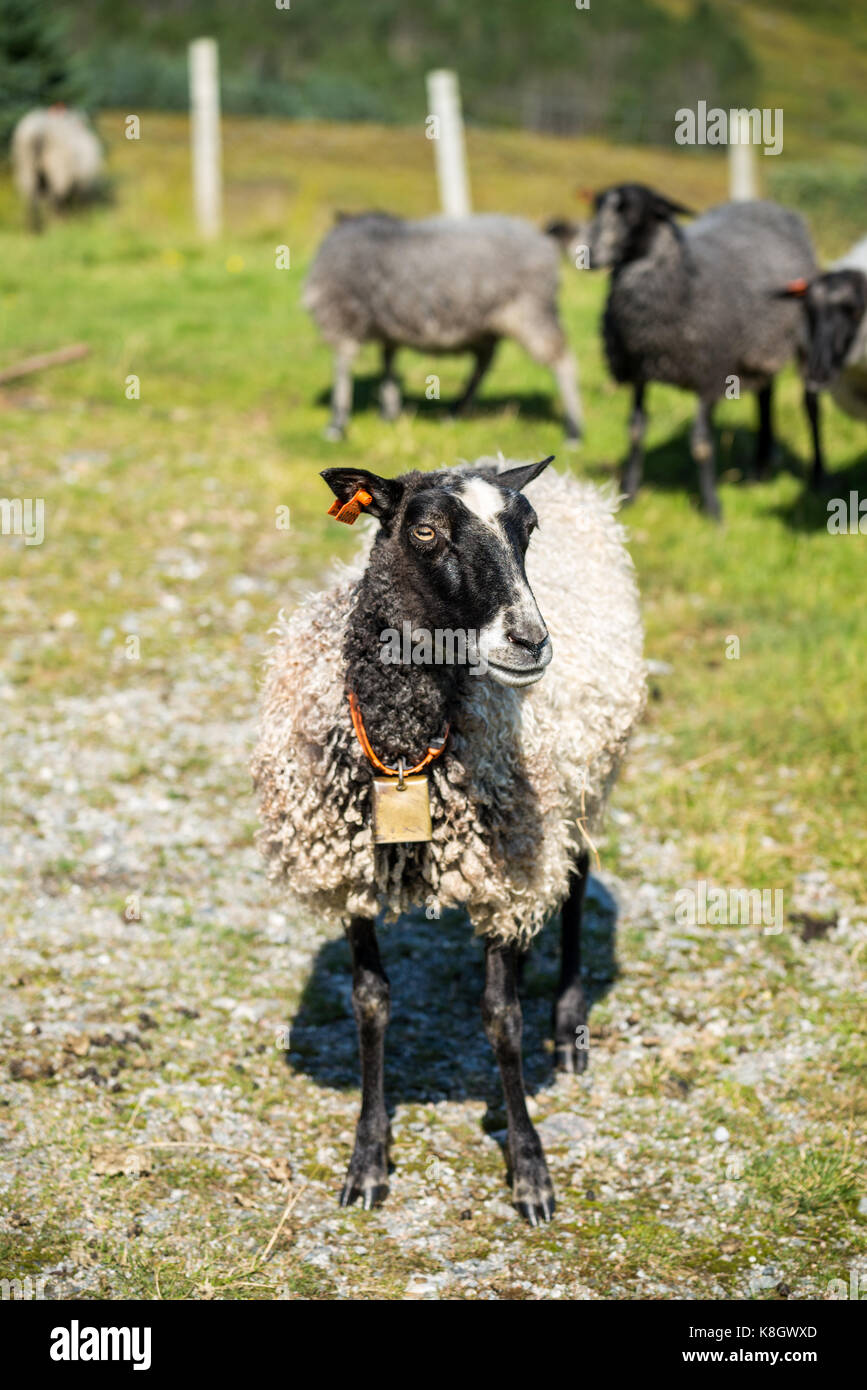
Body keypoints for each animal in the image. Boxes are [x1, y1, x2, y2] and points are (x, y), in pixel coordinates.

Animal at [251, 455, 645, 1223]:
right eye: (425, 531)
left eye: (529, 529)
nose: (529, 640)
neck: (406, 749)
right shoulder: (352, 872)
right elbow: (370, 1003)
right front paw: (367, 1161)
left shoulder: (505, 866)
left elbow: (502, 1019)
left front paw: (529, 1169)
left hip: (582, 782)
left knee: (577, 876)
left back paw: (567, 1022)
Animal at [302, 213, 583, 444]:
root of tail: (543, 240)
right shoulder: (388, 326)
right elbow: (388, 362)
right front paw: (389, 412)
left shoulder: (343, 315)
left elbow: (342, 367)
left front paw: (337, 424)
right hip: (485, 321)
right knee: (485, 361)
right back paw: (455, 411)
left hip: (531, 309)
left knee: (562, 360)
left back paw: (574, 430)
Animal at [586, 183, 821, 518]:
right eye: (597, 208)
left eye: (632, 214)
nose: (590, 253)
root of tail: (767, 205)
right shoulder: (640, 371)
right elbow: (636, 430)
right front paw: (628, 495)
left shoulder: (709, 374)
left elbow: (701, 443)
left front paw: (712, 507)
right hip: (761, 346)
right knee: (766, 396)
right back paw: (760, 470)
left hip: (804, 337)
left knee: (810, 403)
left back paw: (817, 477)